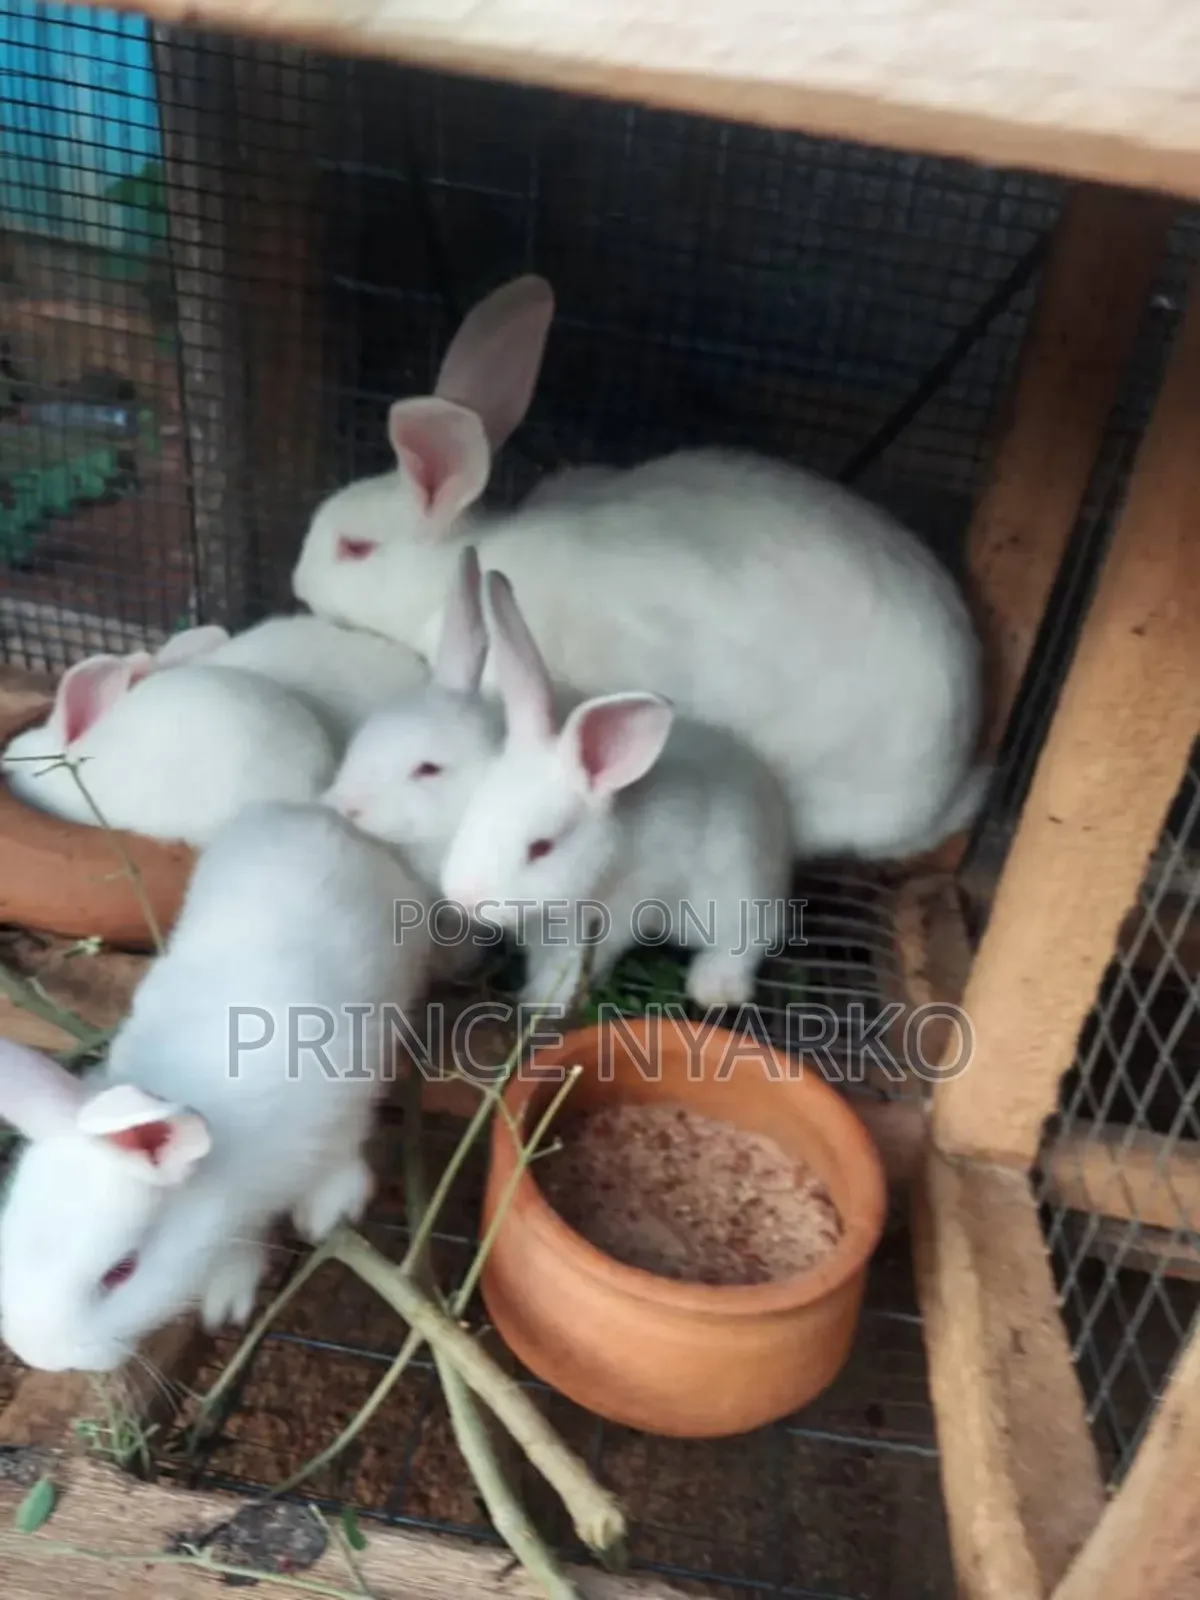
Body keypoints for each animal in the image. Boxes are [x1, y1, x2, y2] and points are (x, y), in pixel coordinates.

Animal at [0, 798, 437, 1373]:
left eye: (121, 1272)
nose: (42, 1356)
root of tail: (308, 814)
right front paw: (226, 1295)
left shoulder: (344, 1098)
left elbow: (344, 1152)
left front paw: (327, 1212)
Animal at [439, 568, 793, 1014]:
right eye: (472, 814)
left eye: (541, 848)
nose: (463, 898)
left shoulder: (613, 917)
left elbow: (573, 966)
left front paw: (545, 1002)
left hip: (734, 893)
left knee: (751, 935)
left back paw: (715, 986)